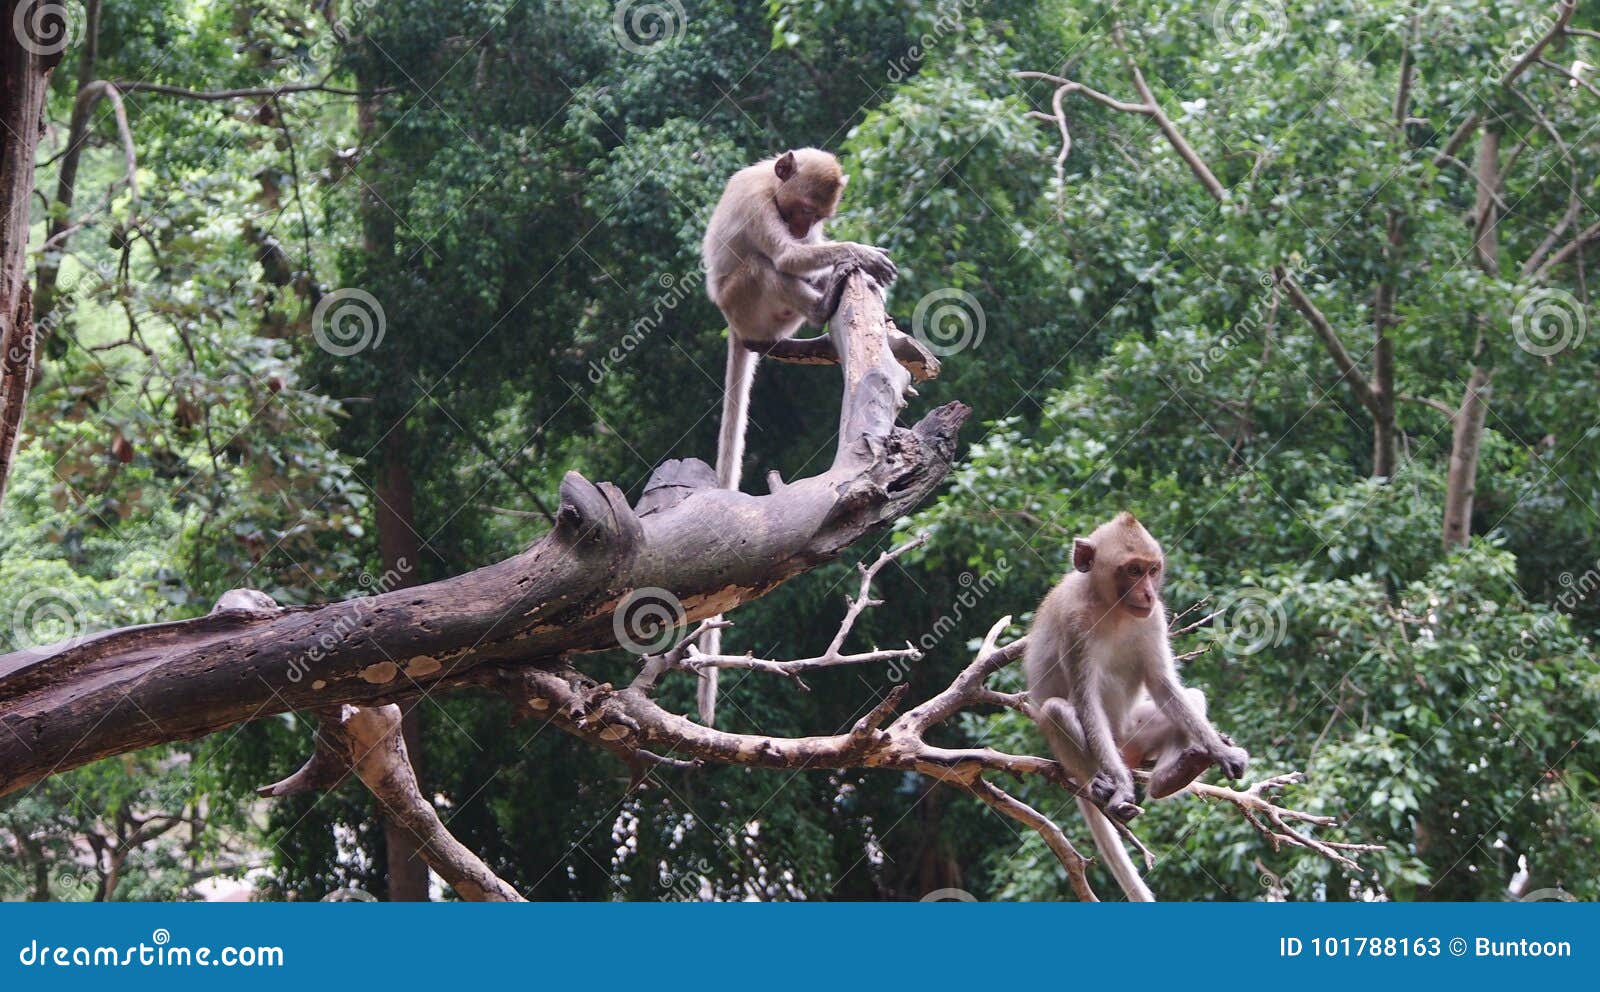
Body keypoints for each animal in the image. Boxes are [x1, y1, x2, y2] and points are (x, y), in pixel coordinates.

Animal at [694, 148, 897, 725]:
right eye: (801, 208)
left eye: (815, 214)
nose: (807, 226)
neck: (771, 182)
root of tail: (737, 327)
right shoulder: (760, 206)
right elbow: (785, 254)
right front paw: (860, 254)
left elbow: (801, 253)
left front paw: (843, 258)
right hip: (744, 301)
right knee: (769, 267)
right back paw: (824, 302)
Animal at [1023, 512, 1248, 901]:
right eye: (1132, 570)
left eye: (1152, 570)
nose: (1147, 592)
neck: (1111, 608)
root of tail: (1125, 753)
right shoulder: (1074, 624)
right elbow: (1085, 700)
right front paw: (1123, 790)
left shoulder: (1154, 616)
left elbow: (1162, 684)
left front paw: (1220, 752)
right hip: (1100, 750)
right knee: (1056, 710)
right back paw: (1103, 788)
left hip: (1136, 737)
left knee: (1191, 698)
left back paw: (1173, 775)